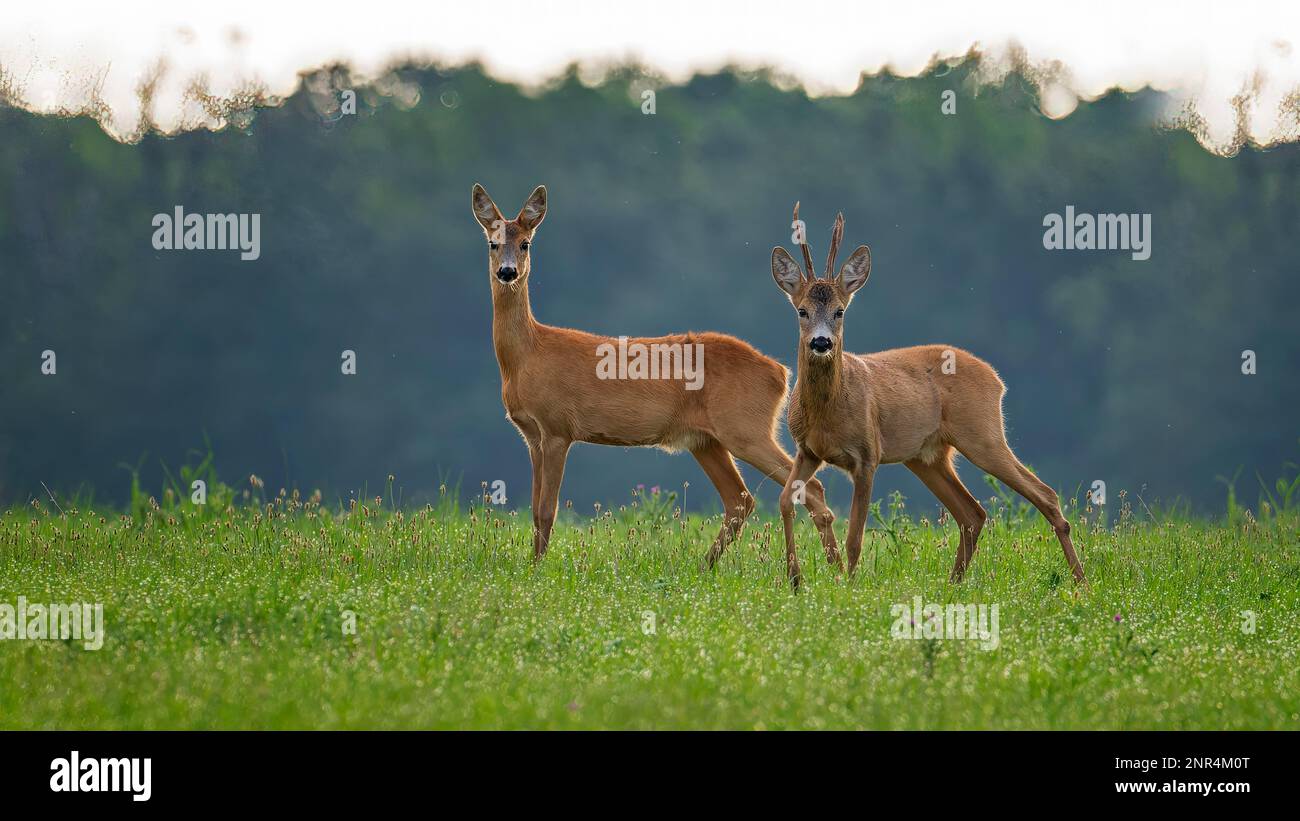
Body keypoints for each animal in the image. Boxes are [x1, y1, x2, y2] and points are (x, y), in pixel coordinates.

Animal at [470, 183, 842, 572]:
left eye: (526, 243)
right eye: (492, 243)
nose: (508, 272)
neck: (528, 356)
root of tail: (781, 372)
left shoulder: (558, 428)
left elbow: (547, 509)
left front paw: (538, 568)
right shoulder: (532, 435)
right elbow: (533, 508)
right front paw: (532, 563)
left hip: (746, 428)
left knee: (808, 488)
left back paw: (833, 568)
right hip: (705, 440)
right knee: (741, 499)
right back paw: (707, 566)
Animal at [770, 204, 1087, 587]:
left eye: (839, 311)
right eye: (801, 310)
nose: (821, 342)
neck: (829, 409)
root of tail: (996, 379)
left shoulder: (868, 454)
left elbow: (855, 537)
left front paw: (850, 585)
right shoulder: (808, 449)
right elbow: (785, 501)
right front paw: (794, 578)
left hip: (982, 434)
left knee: (1046, 495)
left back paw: (1081, 582)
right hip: (927, 456)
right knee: (973, 513)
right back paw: (954, 583)